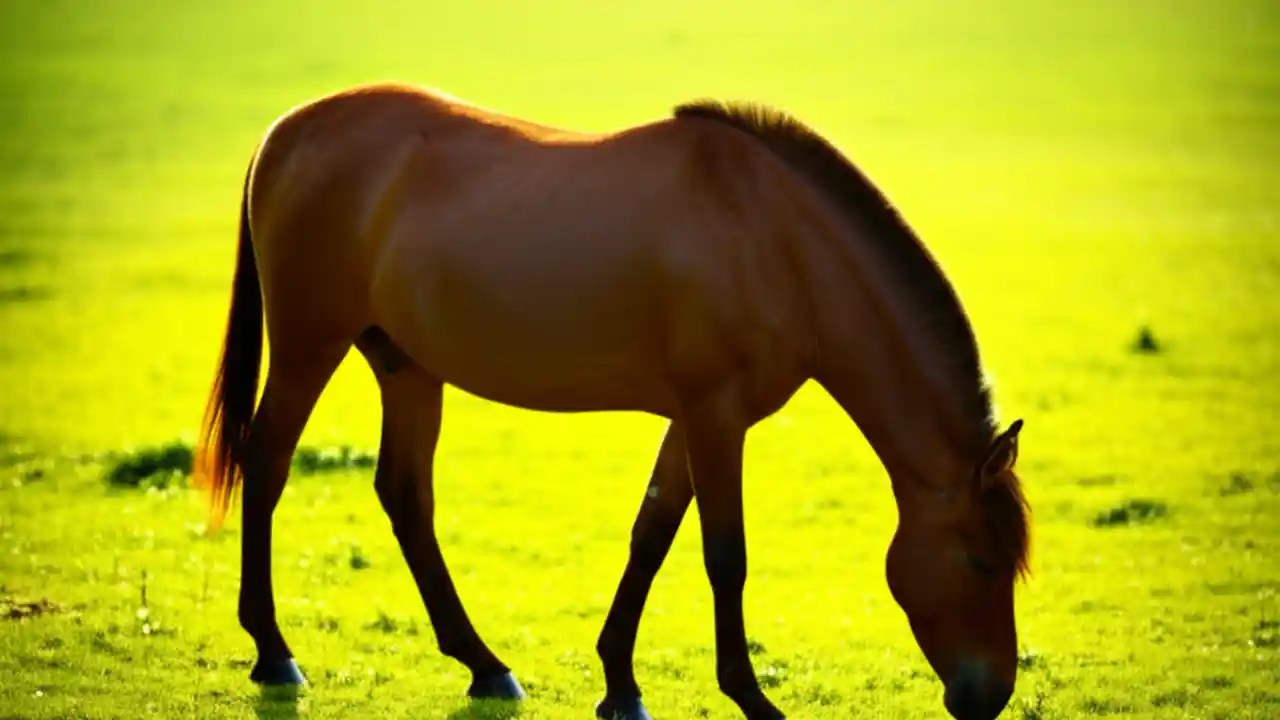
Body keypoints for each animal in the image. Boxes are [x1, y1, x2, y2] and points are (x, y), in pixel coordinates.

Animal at [193, 83, 1029, 720]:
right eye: (983, 560)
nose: (988, 696)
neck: (777, 240)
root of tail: (286, 131)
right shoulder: (716, 415)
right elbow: (724, 555)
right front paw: (751, 698)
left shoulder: (695, 418)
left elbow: (651, 534)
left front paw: (621, 685)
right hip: (309, 342)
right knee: (266, 464)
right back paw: (273, 651)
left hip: (406, 367)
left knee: (404, 495)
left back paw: (483, 664)